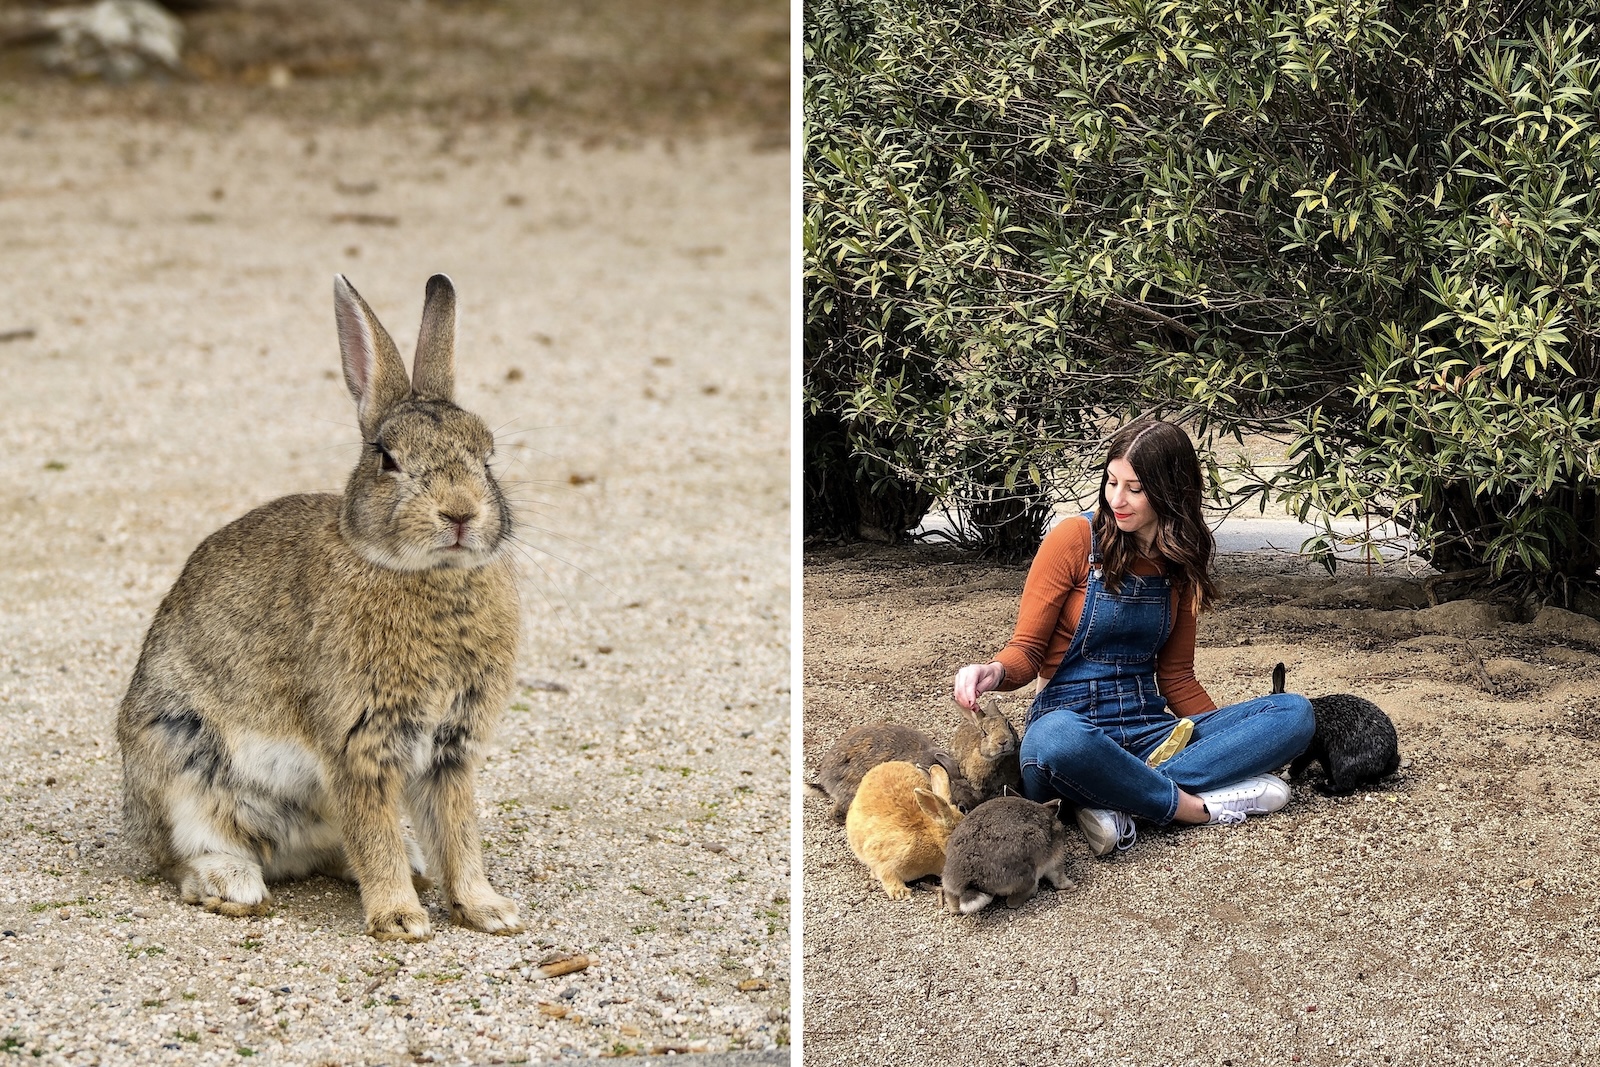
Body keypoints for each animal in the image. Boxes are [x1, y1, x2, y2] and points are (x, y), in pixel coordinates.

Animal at [116, 274, 524, 942]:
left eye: (486, 457)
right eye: (387, 459)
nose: (461, 512)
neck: (426, 577)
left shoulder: (451, 750)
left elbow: (458, 833)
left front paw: (488, 910)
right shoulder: (358, 742)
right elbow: (375, 832)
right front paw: (400, 922)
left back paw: (415, 868)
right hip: (177, 758)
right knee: (185, 857)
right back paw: (233, 882)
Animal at [939, 794, 1073, 914]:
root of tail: (972, 882)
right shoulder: (1055, 859)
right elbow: (1058, 876)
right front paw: (1069, 885)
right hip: (1029, 874)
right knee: (1015, 900)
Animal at [1274, 662, 1401, 795]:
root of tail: (1387, 759)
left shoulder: (1310, 751)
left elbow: (1298, 763)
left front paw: (1285, 775)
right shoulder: (1321, 754)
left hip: (1341, 762)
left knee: (1347, 786)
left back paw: (1321, 787)